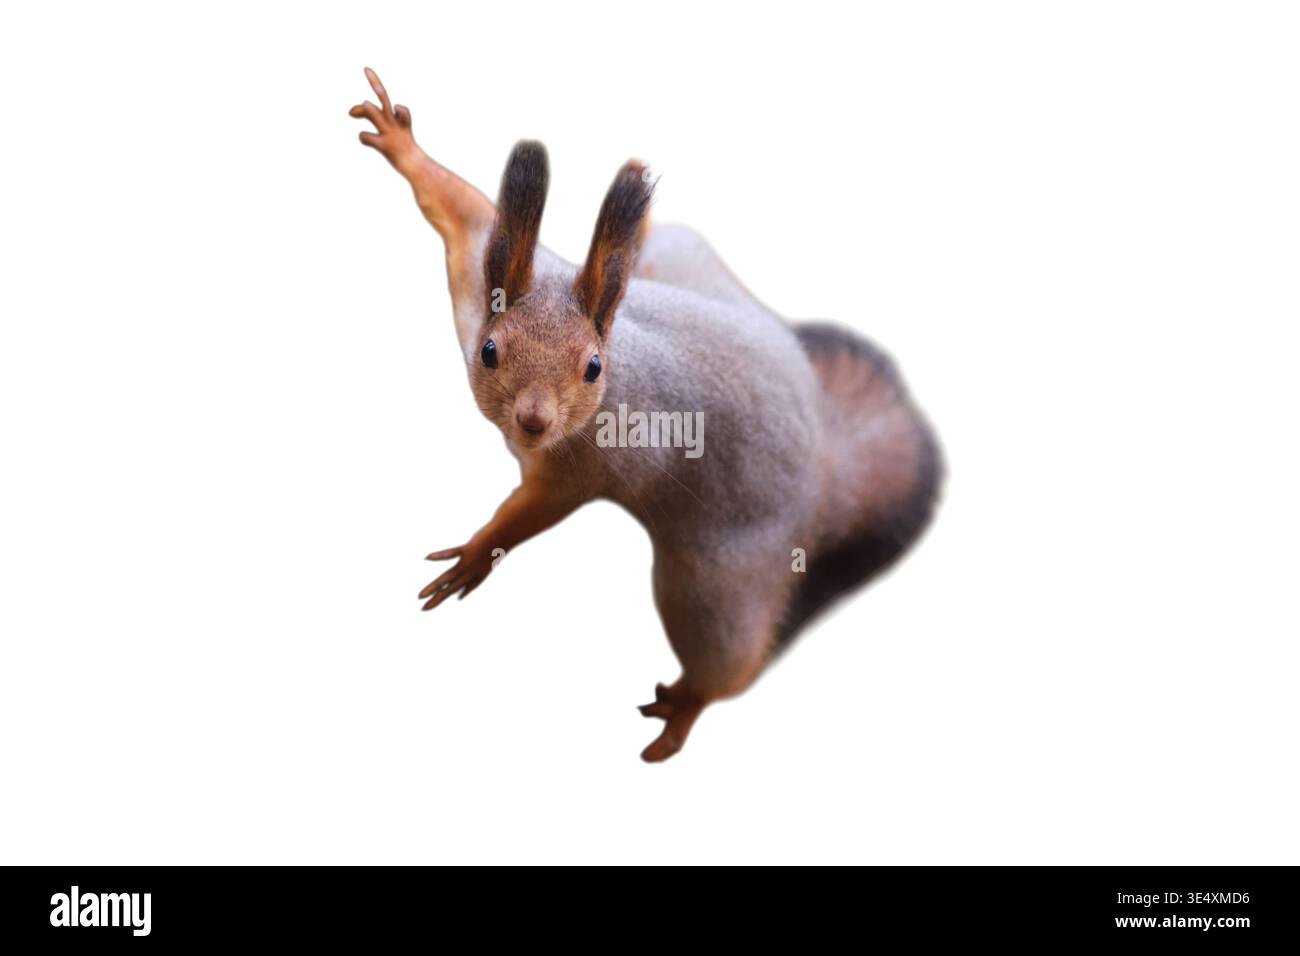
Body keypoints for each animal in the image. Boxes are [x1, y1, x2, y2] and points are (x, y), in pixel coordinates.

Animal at [351, 69, 943, 762]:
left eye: (593, 368)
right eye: (490, 350)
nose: (534, 421)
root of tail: (827, 461)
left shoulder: (583, 466)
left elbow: (531, 514)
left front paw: (475, 555)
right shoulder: (476, 266)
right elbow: (460, 205)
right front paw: (402, 143)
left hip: (716, 584)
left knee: (729, 663)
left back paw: (683, 710)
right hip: (685, 256)